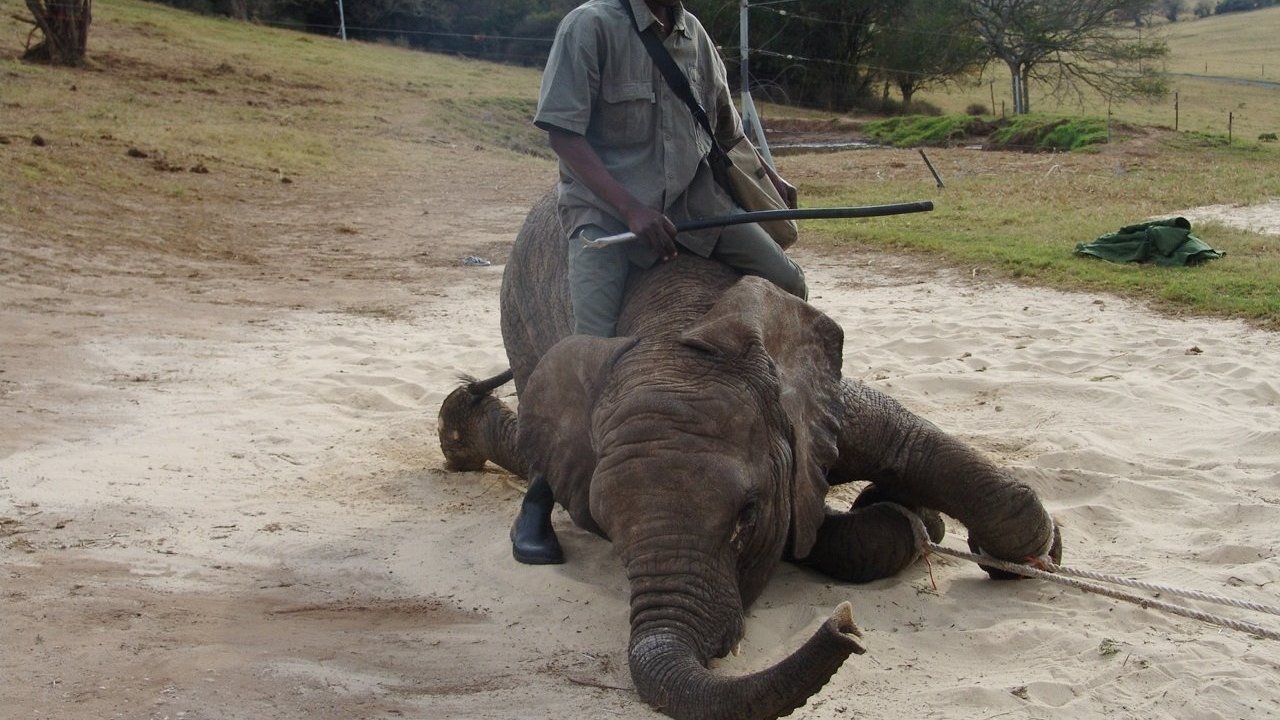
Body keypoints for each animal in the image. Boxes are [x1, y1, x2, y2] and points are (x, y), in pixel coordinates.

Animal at [436, 190, 1060, 720]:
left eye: (746, 518)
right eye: (608, 532)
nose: (846, 628)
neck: (672, 333)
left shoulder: (809, 395)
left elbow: (901, 438)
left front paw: (1031, 555)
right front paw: (906, 522)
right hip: (517, 320)